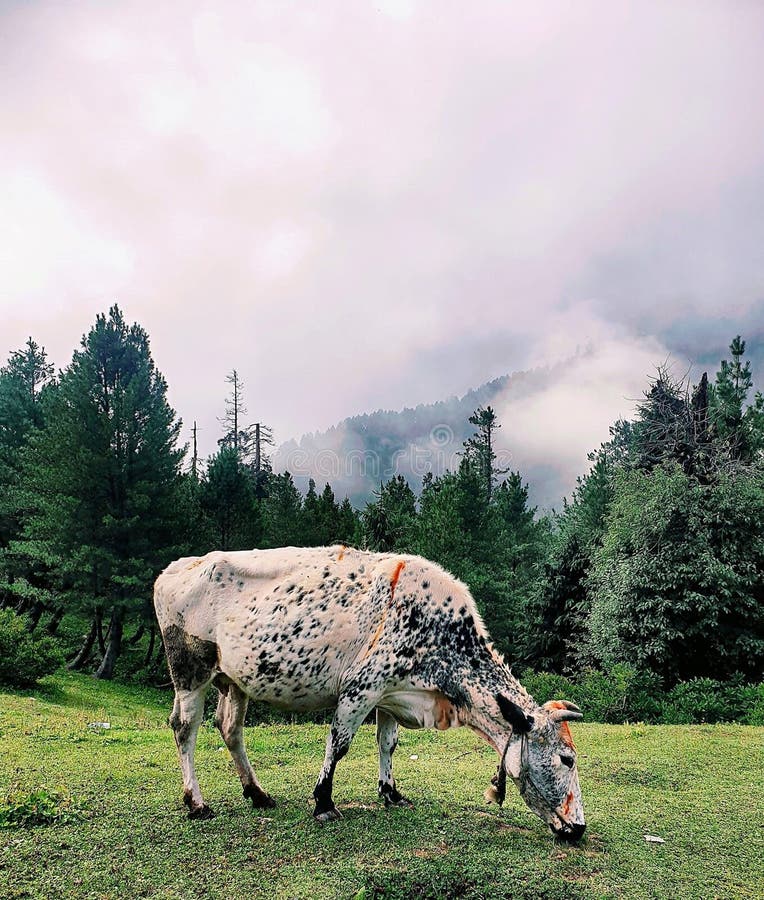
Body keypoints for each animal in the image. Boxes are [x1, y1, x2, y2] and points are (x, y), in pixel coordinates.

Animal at [153, 545, 586, 840]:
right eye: (566, 759)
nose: (579, 827)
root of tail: (175, 568)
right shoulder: (361, 687)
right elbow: (339, 745)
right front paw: (324, 802)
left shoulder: (390, 696)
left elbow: (387, 743)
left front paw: (391, 793)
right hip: (190, 669)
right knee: (184, 727)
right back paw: (196, 802)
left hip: (235, 680)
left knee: (230, 728)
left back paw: (257, 793)